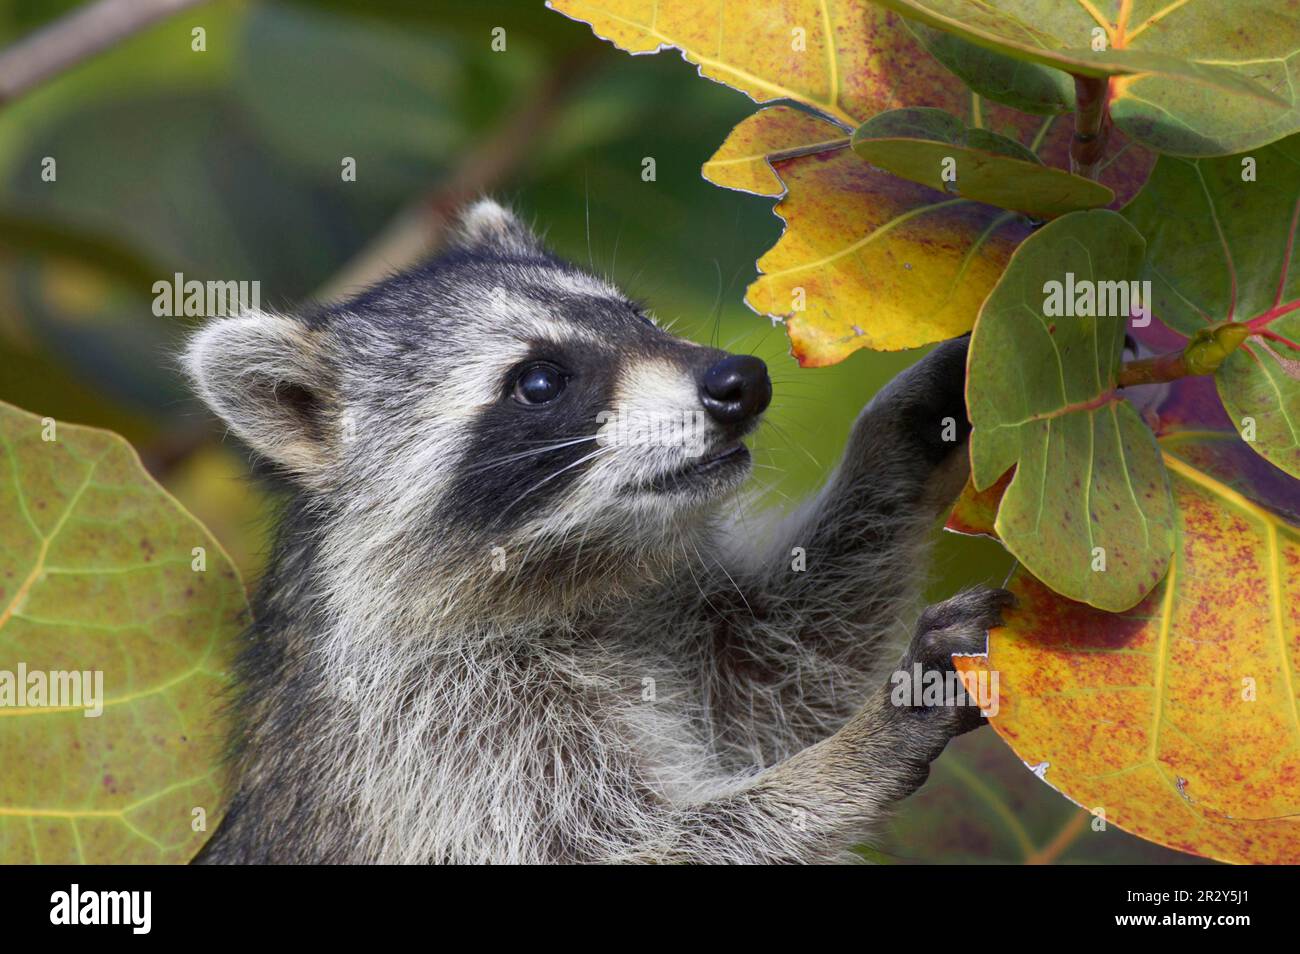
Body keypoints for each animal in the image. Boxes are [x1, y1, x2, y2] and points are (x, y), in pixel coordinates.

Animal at [185, 199, 1010, 864]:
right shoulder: (431, 739)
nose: (743, 381)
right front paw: (849, 756)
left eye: (637, 317)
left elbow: (784, 658)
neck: (580, 577)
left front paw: (900, 433)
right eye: (540, 381)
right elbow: (622, 847)